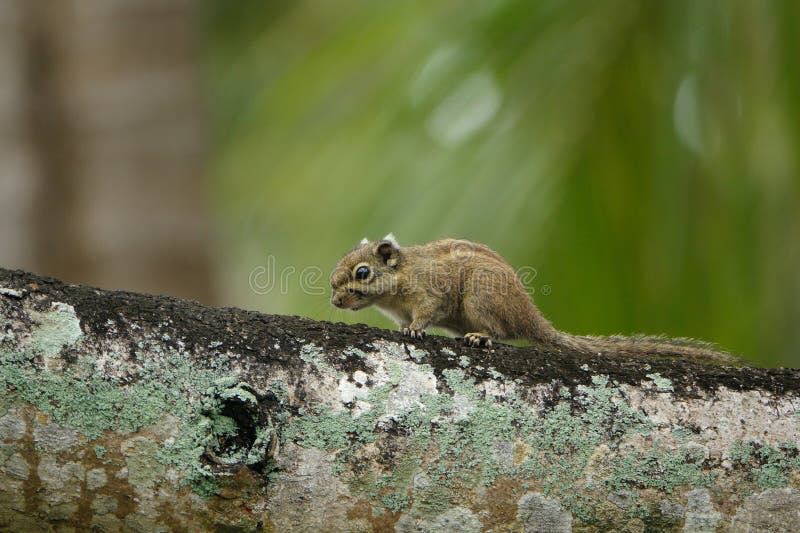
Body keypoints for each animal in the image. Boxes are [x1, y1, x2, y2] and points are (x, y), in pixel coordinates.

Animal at [330, 234, 736, 362]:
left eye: (362, 273)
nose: (335, 301)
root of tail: (530, 316)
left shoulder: (430, 292)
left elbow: (427, 312)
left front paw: (415, 329)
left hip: (481, 297)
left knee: (503, 331)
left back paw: (481, 336)